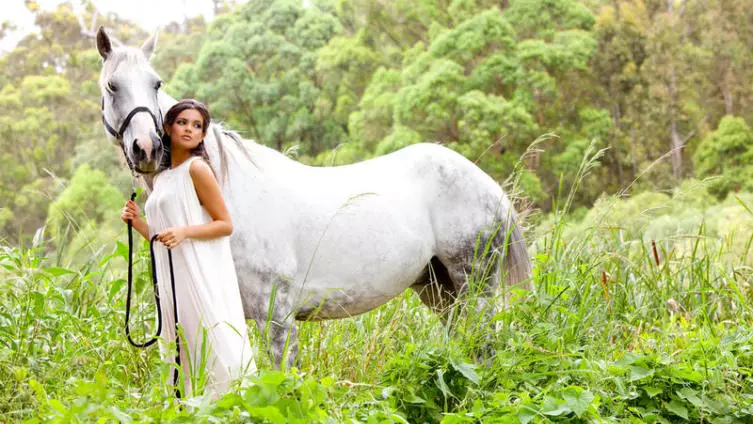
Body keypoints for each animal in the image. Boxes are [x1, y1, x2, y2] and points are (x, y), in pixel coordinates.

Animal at [97, 27, 532, 368]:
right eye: (112, 86)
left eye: (156, 83)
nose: (147, 148)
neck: (226, 194)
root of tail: (488, 185)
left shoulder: (277, 317)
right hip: (439, 289)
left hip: (474, 282)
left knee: (486, 347)